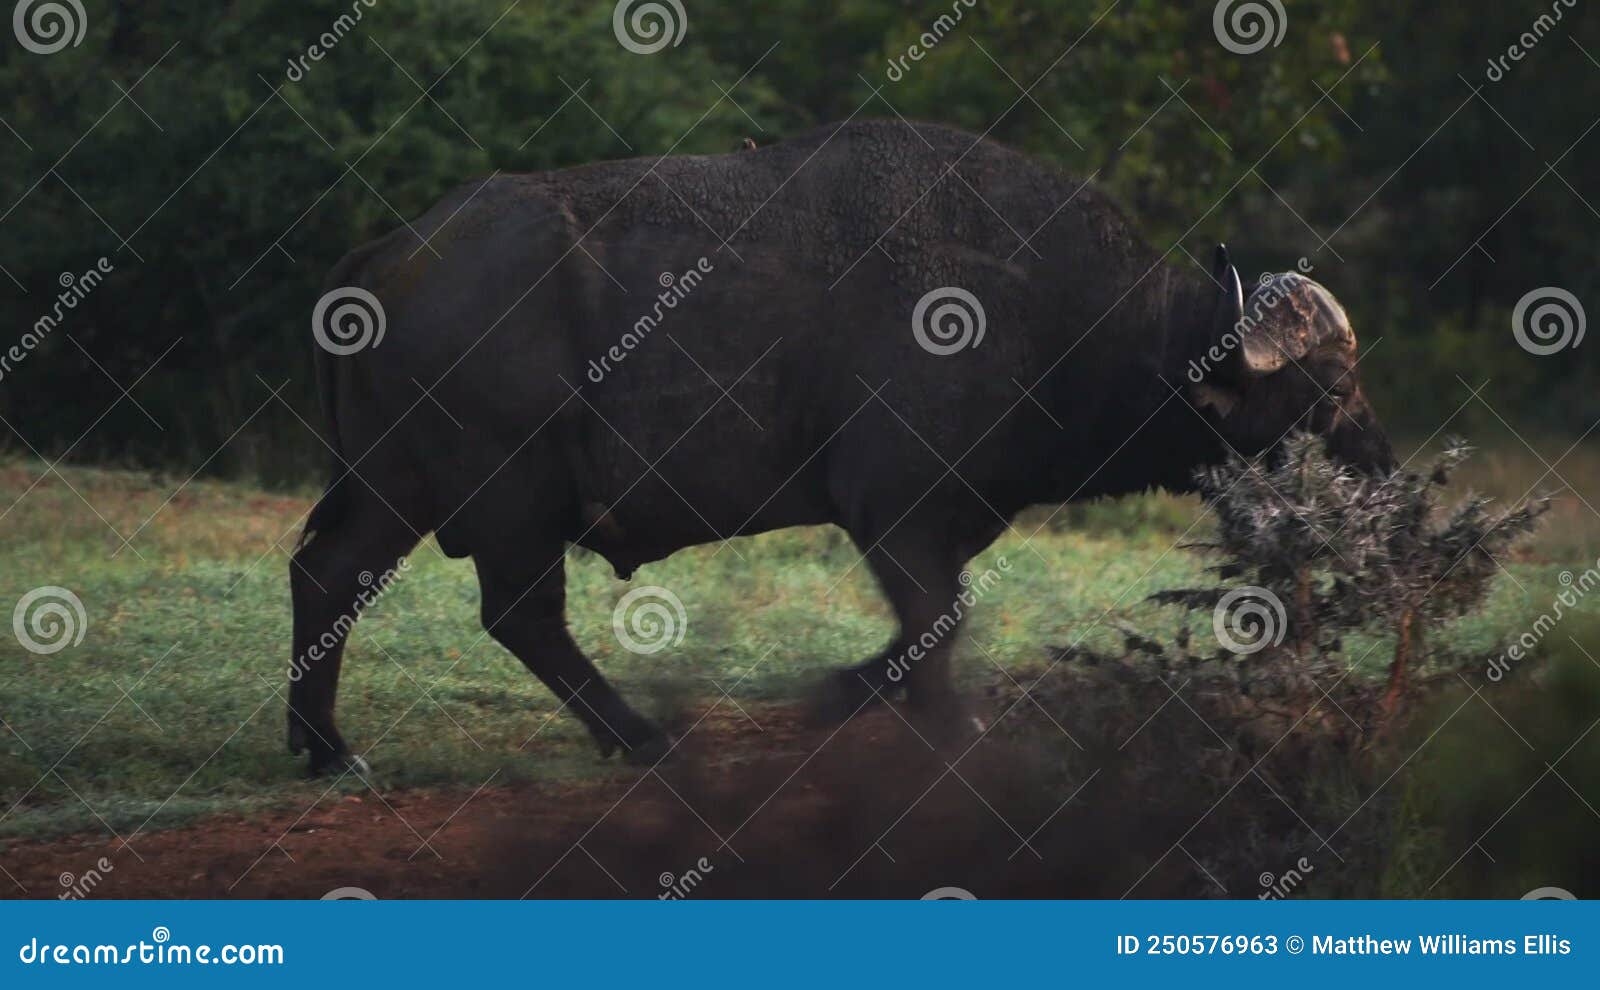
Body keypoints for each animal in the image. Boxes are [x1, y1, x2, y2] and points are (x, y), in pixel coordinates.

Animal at [287, 120, 1392, 775]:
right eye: (1326, 390)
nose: (1382, 484)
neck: (1063, 313)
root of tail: (389, 256)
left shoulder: (941, 519)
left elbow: (922, 627)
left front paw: (843, 697)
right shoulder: (891, 506)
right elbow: (939, 621)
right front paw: (934, 730)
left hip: (393, 487)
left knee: (326, 572)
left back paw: (326, 747)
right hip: (509, 499)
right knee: (521, 615)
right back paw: (641, 738)